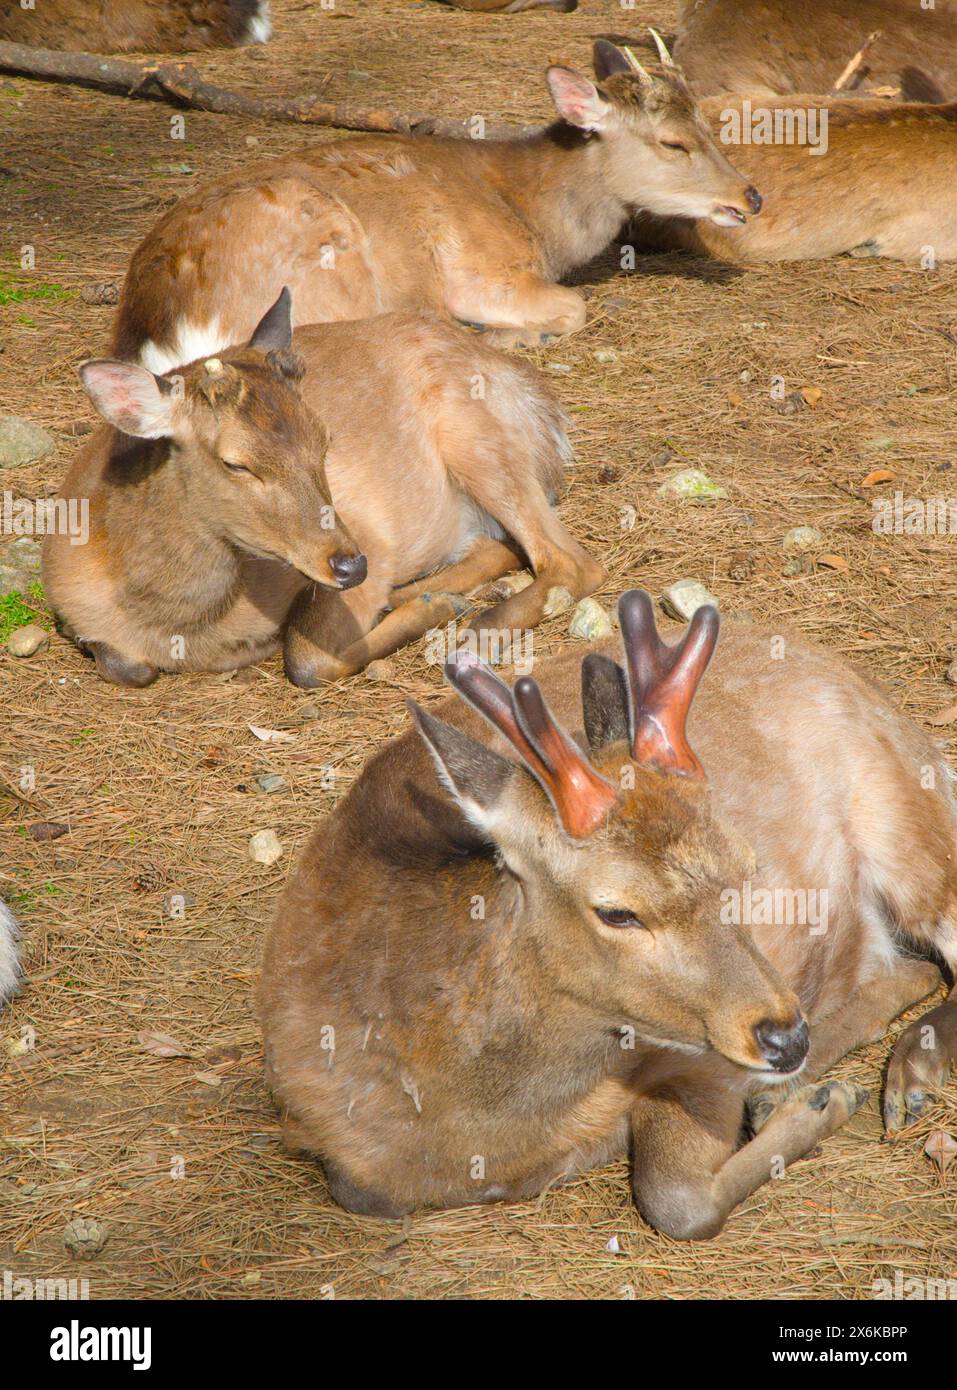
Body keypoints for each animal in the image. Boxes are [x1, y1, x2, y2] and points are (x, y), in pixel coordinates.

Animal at [42, 289, 602, 689]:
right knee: (498, 546)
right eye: (235, 463)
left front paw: (437, 610)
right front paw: (431, 602)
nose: (352, 566)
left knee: (569, 560)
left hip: (478, 438)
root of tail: (535, 399)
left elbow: (307, 659)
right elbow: (124, 665)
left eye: (325, 438)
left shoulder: (370, 530)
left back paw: (477, 627)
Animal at [111, 40, 761, 371]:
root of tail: (170, 320)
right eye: (673, 143)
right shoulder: (487, 271)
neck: (537, 219)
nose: (749, 195)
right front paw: (517, 332)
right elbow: (575, 306)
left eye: (706, 122)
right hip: (326, 269)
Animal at [259, 589, 957, 1238]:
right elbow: (356, 1190)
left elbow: (674, 1197)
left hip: (904, 810)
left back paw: (894, 1076)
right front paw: (811, 1092)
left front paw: (826, 1100)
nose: (786, 1038)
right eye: (617, 912)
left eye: (746, 868)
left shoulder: (693, 1049)